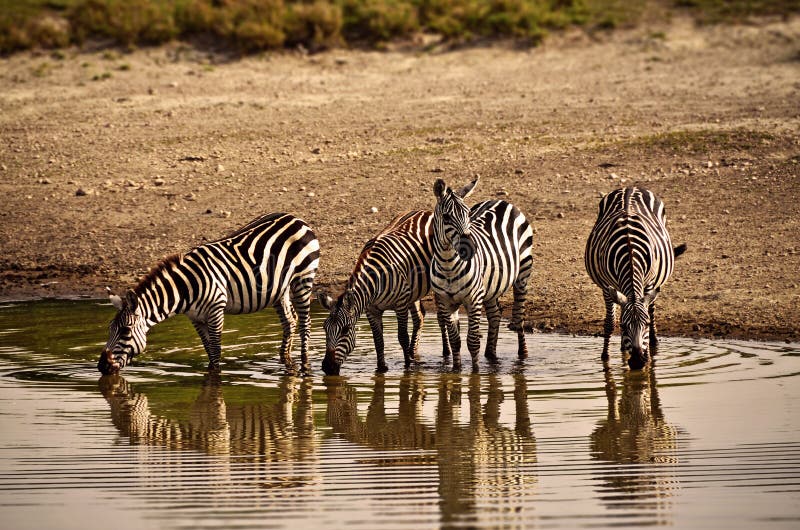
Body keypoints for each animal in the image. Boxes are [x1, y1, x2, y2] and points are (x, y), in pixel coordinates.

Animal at [98, 212, 319, 375]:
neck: (185, 289)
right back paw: (285, 360)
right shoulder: (196, 318)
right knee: (289, 321)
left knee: (305, 323)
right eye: (110, 329)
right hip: (279, 289)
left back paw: (305, 364)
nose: (102, 366)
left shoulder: (216, 311)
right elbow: (209, 352)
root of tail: (295, 218)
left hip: (302, 280)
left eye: (125, 331)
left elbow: (216, 350)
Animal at [316, 210, 449, 375]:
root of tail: (425, 211)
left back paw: (446, 353)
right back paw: (413, 353)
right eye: (324, 328)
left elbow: (402, 337)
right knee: (419, 317)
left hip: (437, 280)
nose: (327, 368)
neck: (375, 280)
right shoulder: (371, 310)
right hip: (413, 290)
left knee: (441, 317)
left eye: (345, 330)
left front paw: (407, 368)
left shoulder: (400, 304)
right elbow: (378, 340)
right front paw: (381, 369)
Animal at [431, 177, 534, 370]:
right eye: (446, 217)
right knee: (495, 315)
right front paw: (456, 370)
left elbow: (472, 342)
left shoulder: (474, 299)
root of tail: (501, 201)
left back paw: (522, 355)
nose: (471, 248)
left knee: (519, 317)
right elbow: (455, 341)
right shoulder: (445, 302)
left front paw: (476, 372)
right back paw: (490, 355)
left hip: (523, 272)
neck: (448, 265)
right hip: (491, 286)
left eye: (467, 214)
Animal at [585, 187, 687, 369]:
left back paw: (653, 341)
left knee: (651, 308)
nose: (638, 361)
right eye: (624, 326)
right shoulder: (607, 287)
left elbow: (648, 311)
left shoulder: (648, 283)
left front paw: (648, 356)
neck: (629, 251)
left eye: (646, 325)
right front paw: (605, 357)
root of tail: (630, 188)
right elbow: (610, 322)